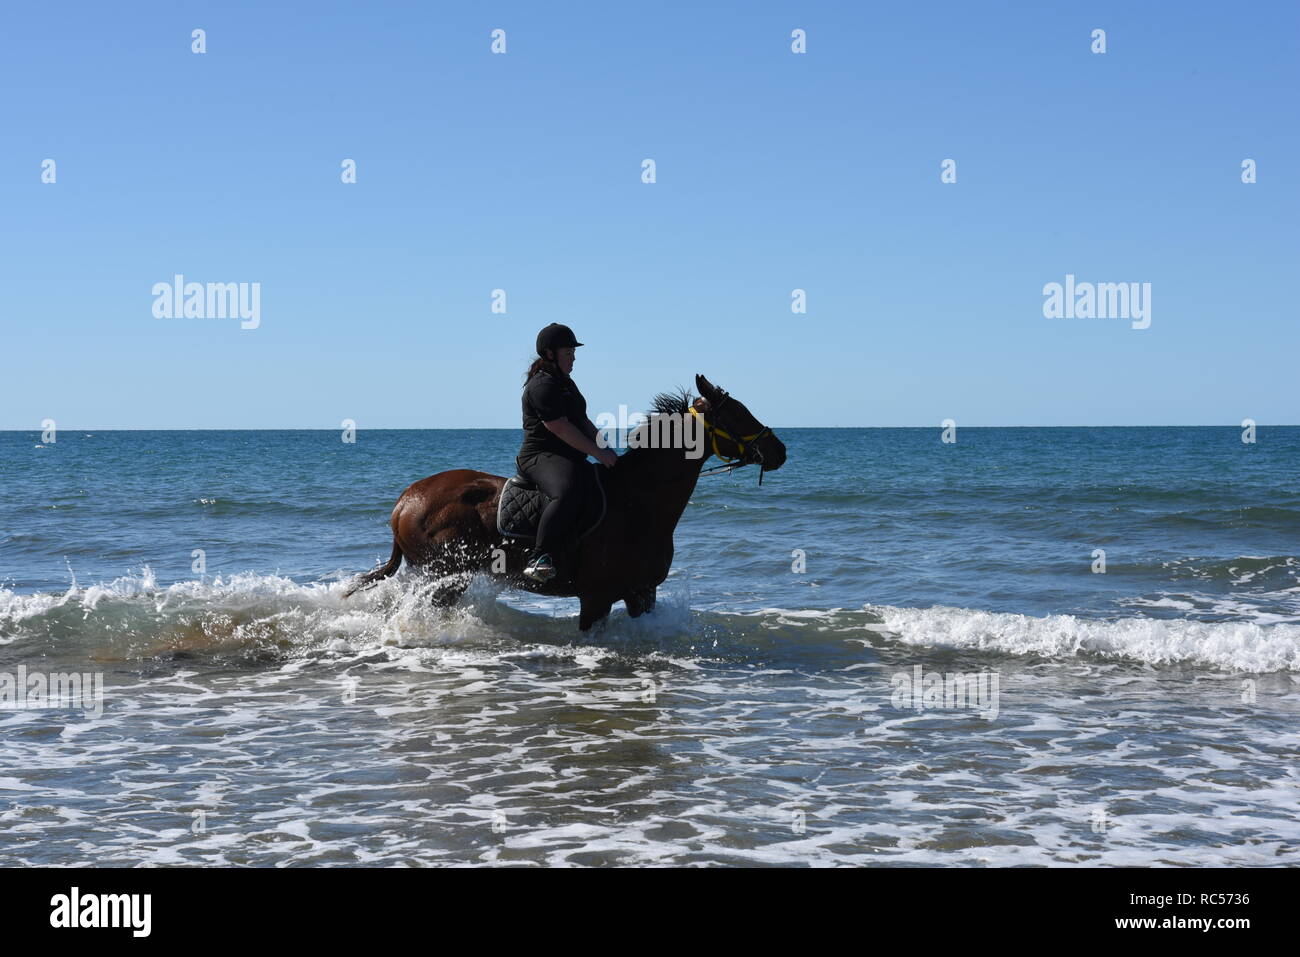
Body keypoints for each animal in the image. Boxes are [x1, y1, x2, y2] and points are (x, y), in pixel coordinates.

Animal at [342, 374, 787, 630]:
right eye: (738, 414)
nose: (779, 451)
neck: (638, 503)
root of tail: (404, 501)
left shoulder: (641, 594)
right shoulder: (596, 599)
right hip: (444, 577)